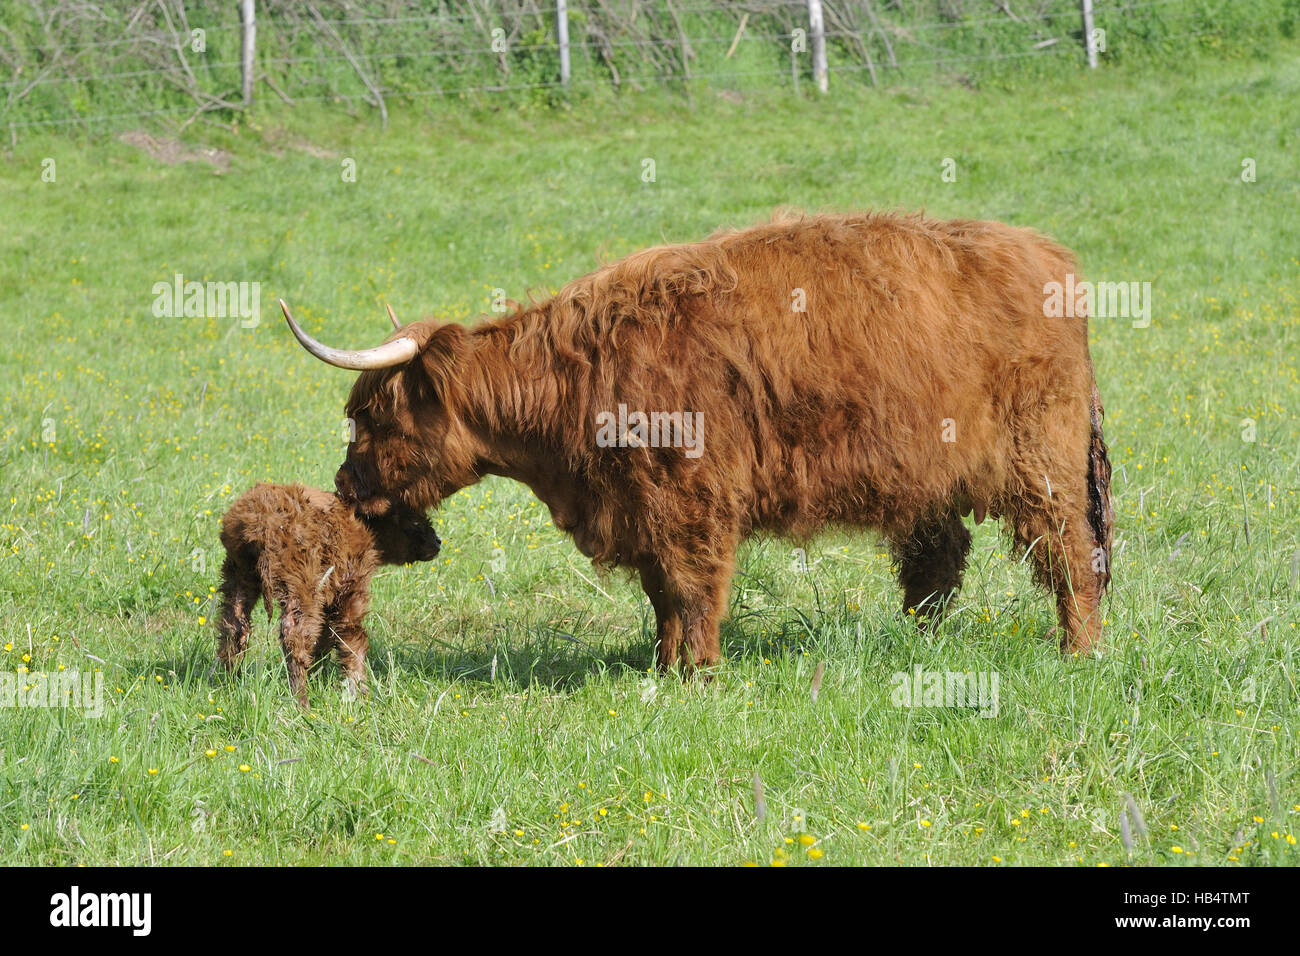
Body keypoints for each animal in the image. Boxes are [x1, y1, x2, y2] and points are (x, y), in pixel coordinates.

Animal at [281, 211, 1114, 673]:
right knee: (938, 562)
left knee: (1072, 554)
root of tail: (1050, 258)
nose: (347, 484)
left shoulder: (692, 499)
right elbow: (661, 596)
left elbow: (693, 588)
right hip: (933, 476)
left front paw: (699, 672)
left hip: (1040, 459)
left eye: (373, 416)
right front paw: (661, 664)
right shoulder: (641, 509)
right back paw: (920, 646)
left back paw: (1079, 652)